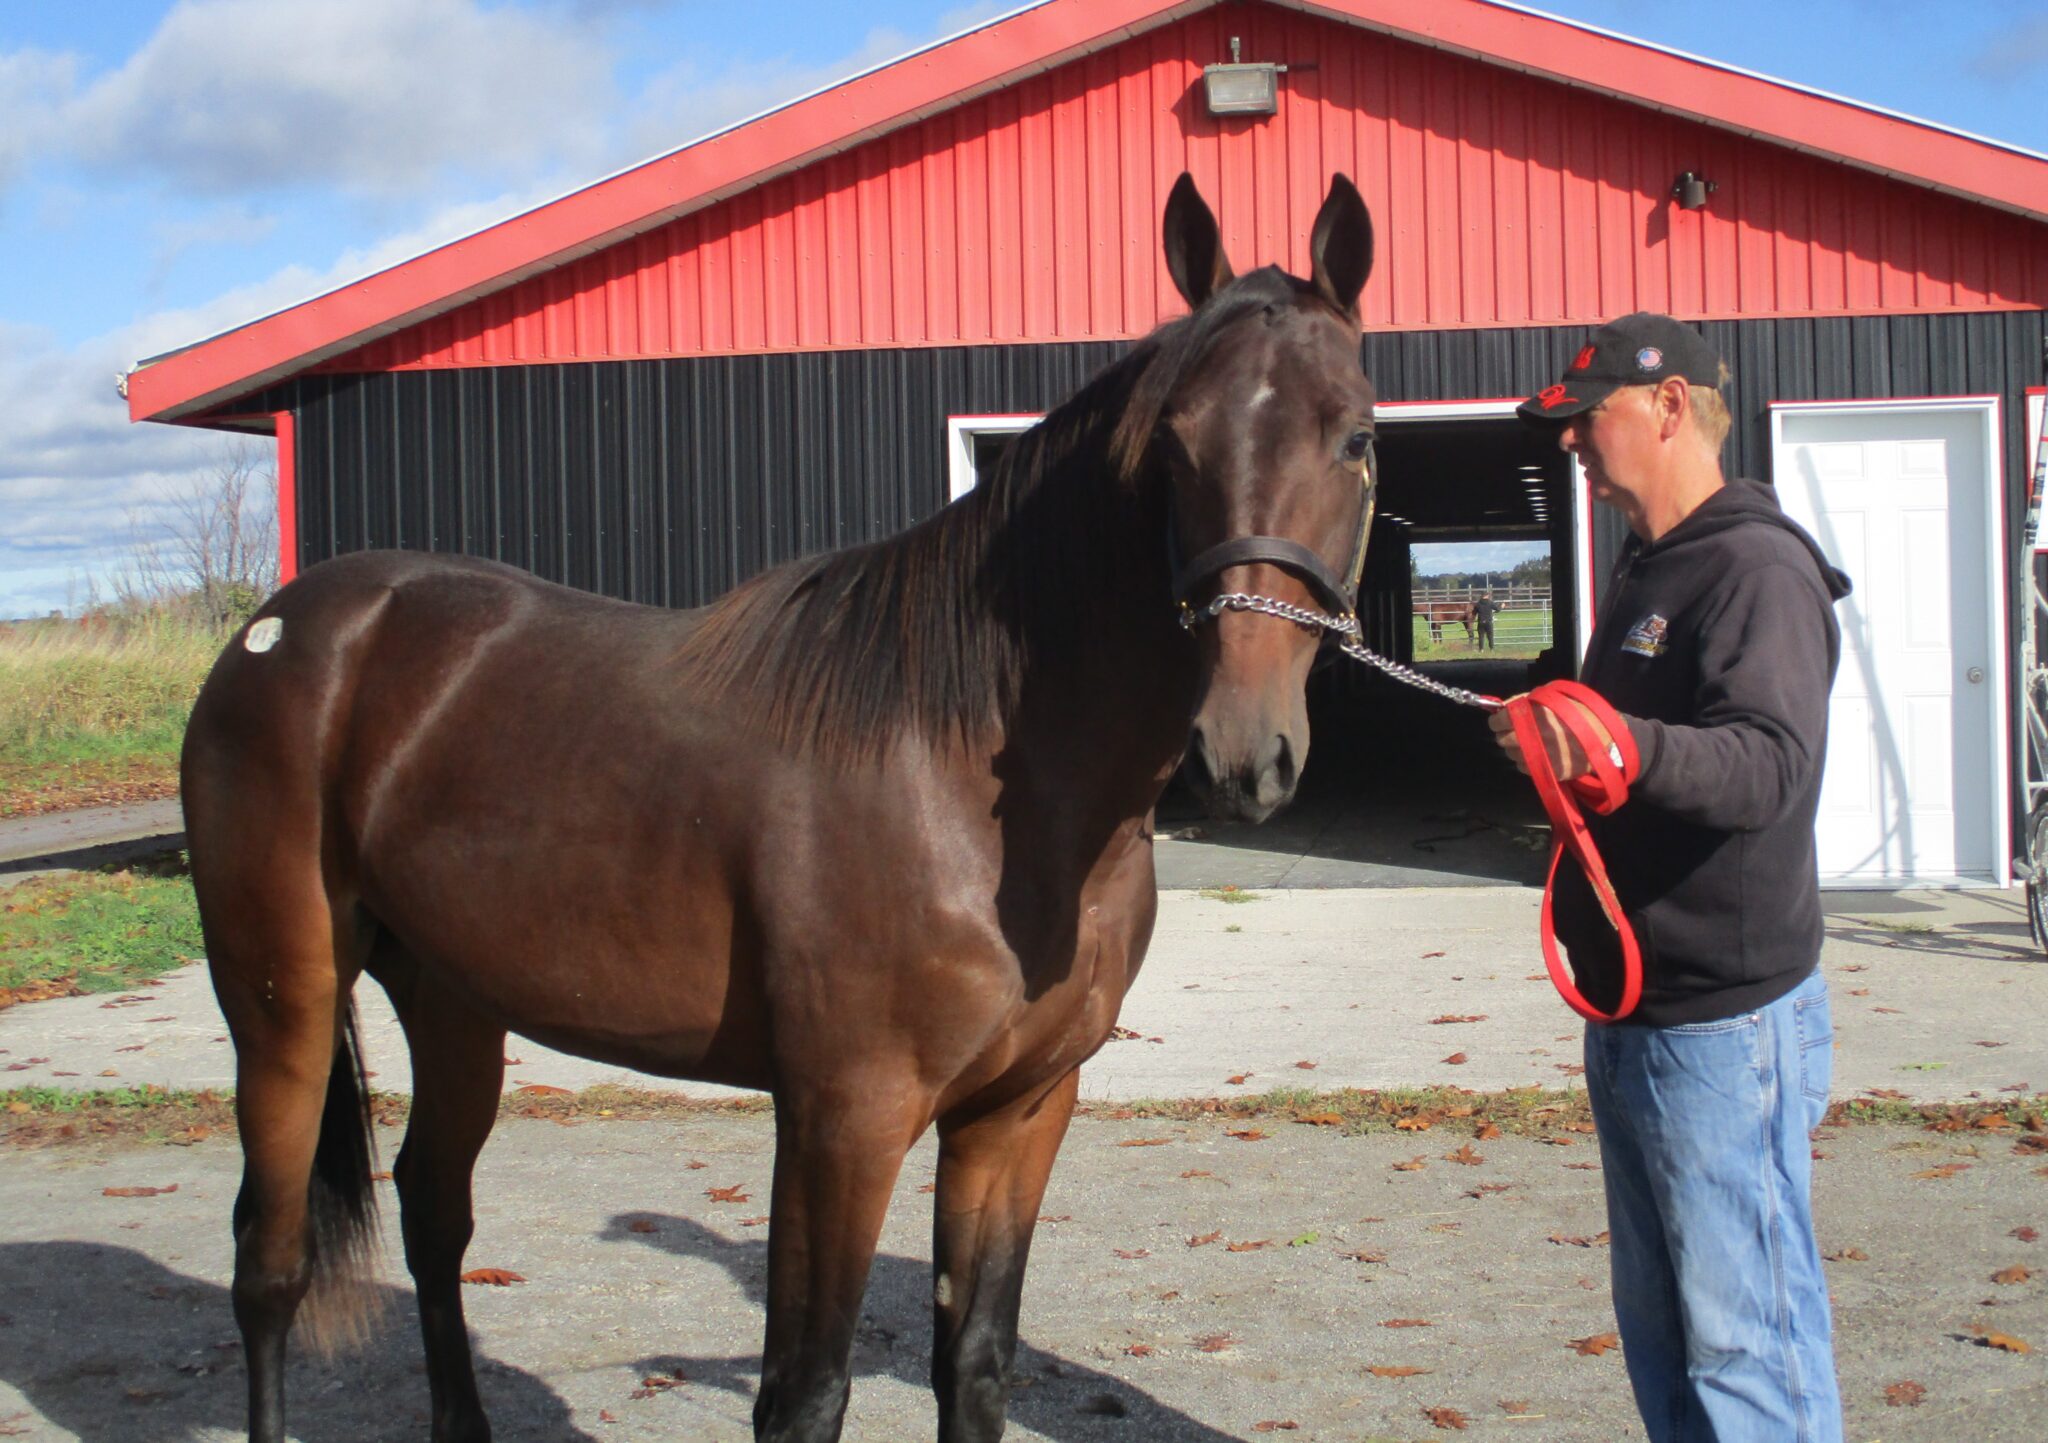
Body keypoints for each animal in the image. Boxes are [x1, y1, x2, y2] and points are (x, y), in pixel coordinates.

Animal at [182, 170, 1378, 1443]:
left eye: (1355, 435)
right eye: (1173, 441)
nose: (1243, 749)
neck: (971, 785)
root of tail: (287, 625)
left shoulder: (1017, 1111)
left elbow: (977, 1361)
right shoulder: (841, 1119)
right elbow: (803, 1393)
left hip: (454, 999)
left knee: (432, 1212)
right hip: (283, 996)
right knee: (269, 1262)